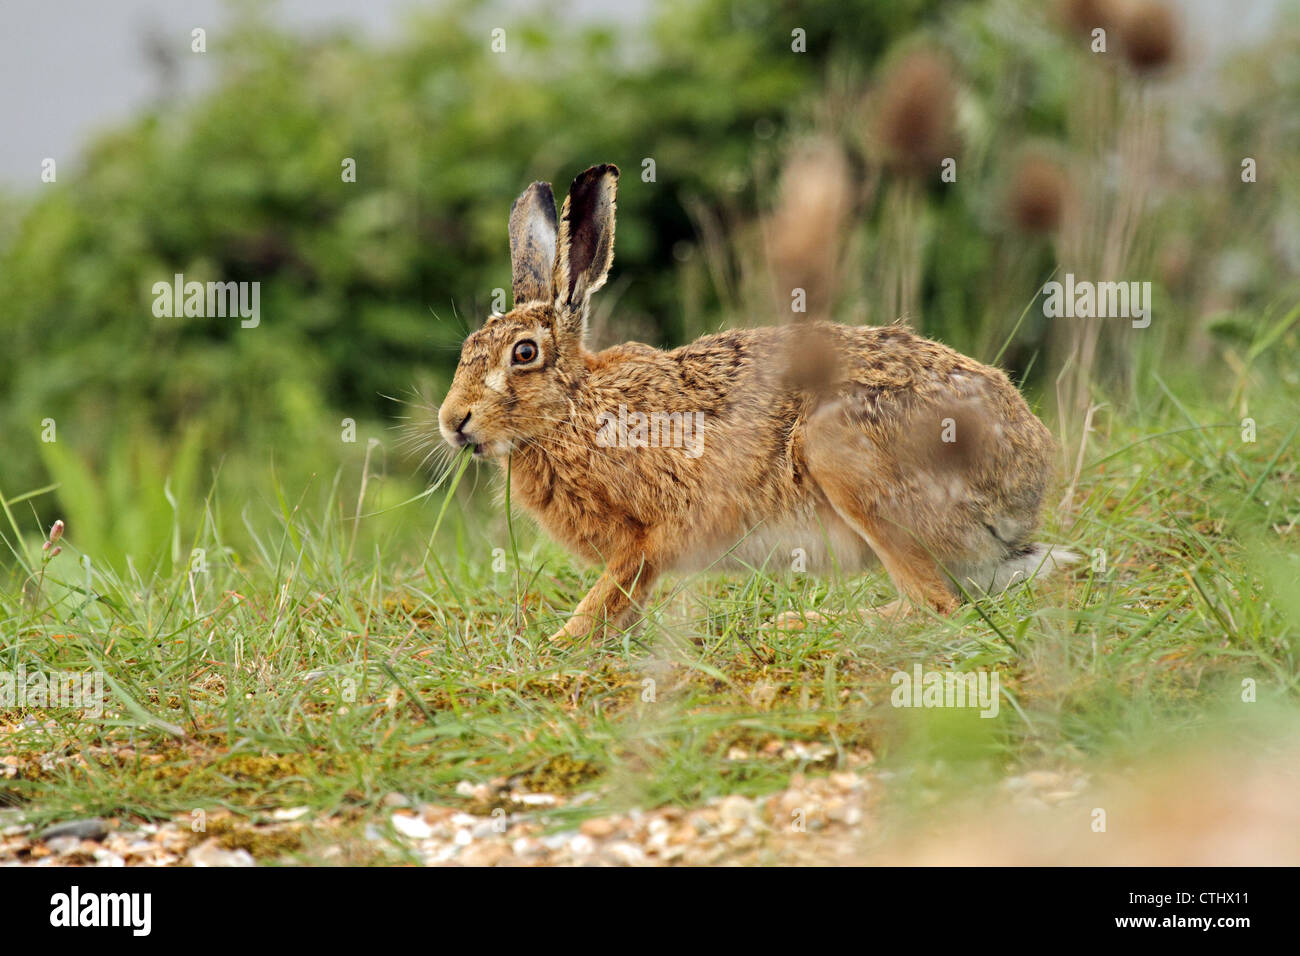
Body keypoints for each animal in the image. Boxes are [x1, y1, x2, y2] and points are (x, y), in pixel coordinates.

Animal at [437, 164, 1077, 642]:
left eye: (524, 353)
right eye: (467, 351)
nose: (453, 422)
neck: (573, 410)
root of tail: (1028, 477)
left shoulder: (647, 535)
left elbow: (609, 594)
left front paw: (559, 644)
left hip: (846, 458)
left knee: (936, 606)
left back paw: (799, 622)